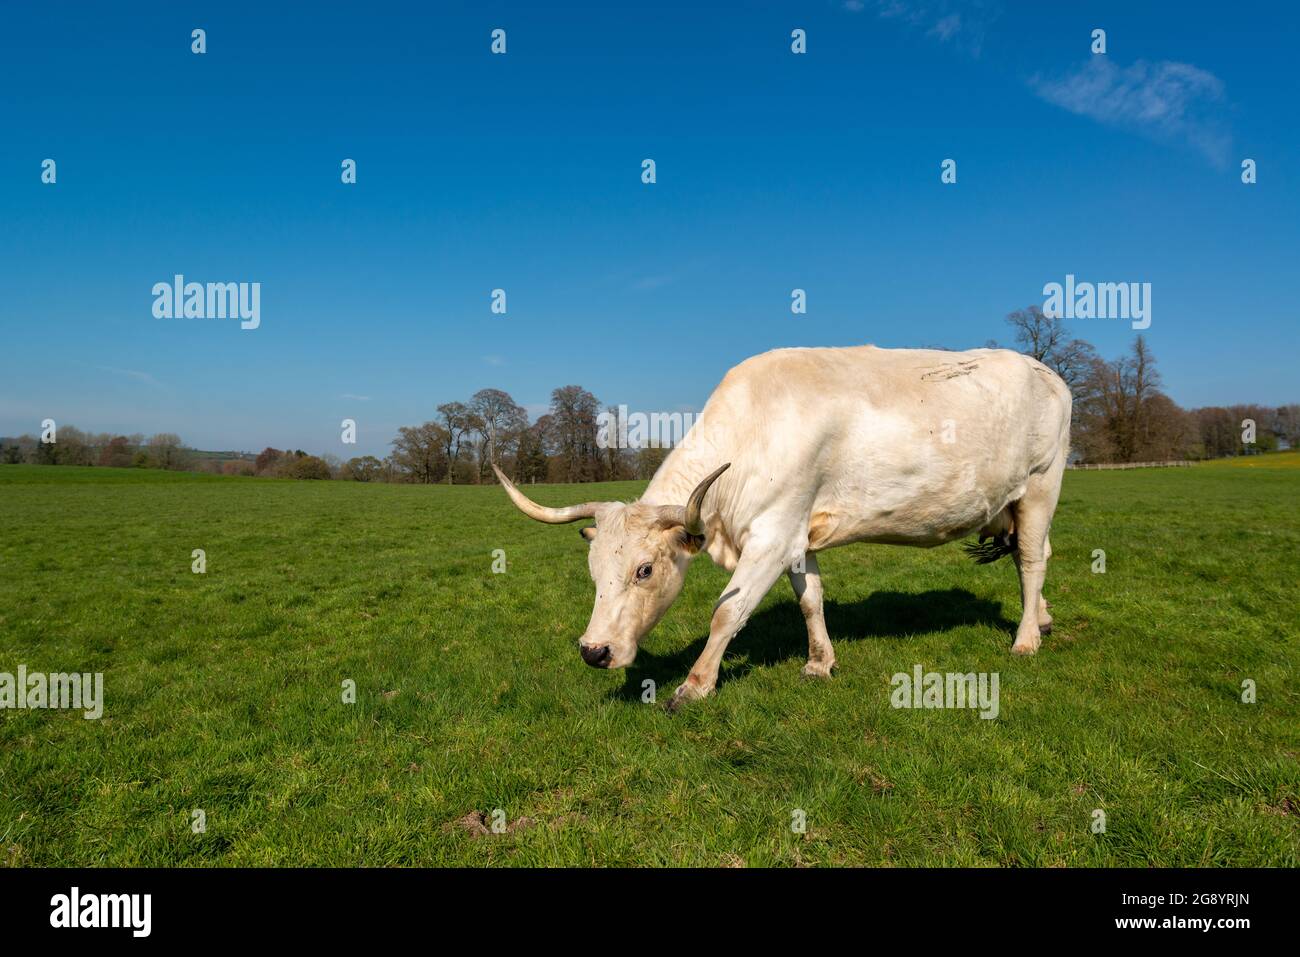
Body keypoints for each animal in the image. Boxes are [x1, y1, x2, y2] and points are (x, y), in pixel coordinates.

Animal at [494, 345, 1072, 712]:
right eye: (594, 572)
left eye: (644, 570)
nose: (594, 652)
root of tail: (1043, 369)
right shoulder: (796, 533)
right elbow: (810, 599)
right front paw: (819, 663)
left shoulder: (770, 538)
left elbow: (727, 613)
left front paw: (695, 686)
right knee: (1035, 553)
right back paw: (1042, 620)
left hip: (1042, 485)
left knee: (1031, 560)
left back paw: (1025, 639)